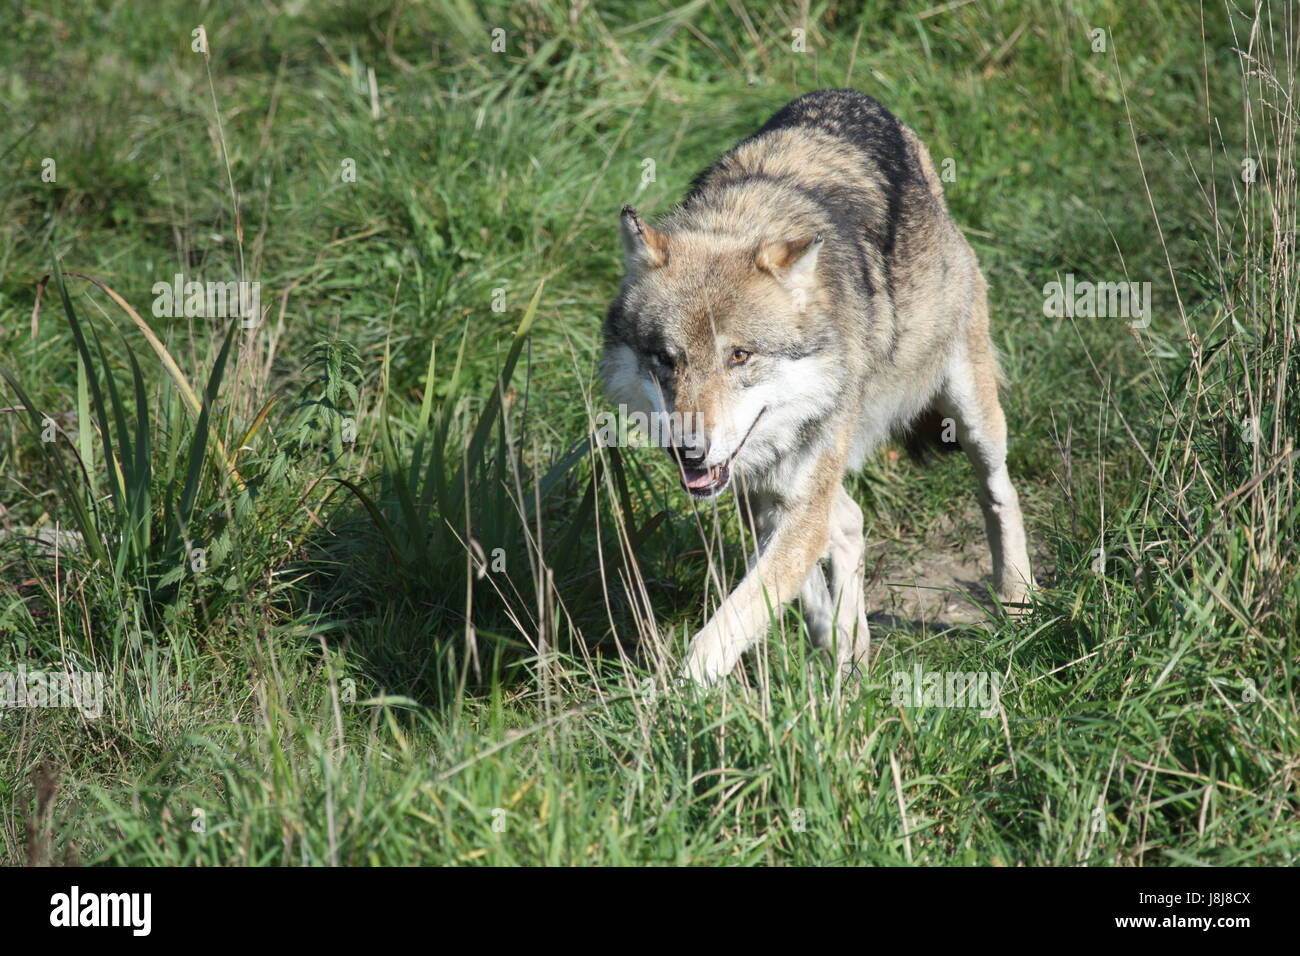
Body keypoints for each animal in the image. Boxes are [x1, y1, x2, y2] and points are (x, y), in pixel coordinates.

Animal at [601, 89, 1034, 684]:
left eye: (739, 356)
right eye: (666, 359)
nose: (689, 451)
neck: (745, 219)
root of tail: (857, 96)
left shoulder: (797, 502)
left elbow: (721, 633)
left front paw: (676, 698)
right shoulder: (763, 494)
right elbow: (789, 585)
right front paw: (831, 644)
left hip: (969, 415)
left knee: (998, 490)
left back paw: (1017, 601)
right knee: (850, 522)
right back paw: (848, 655)